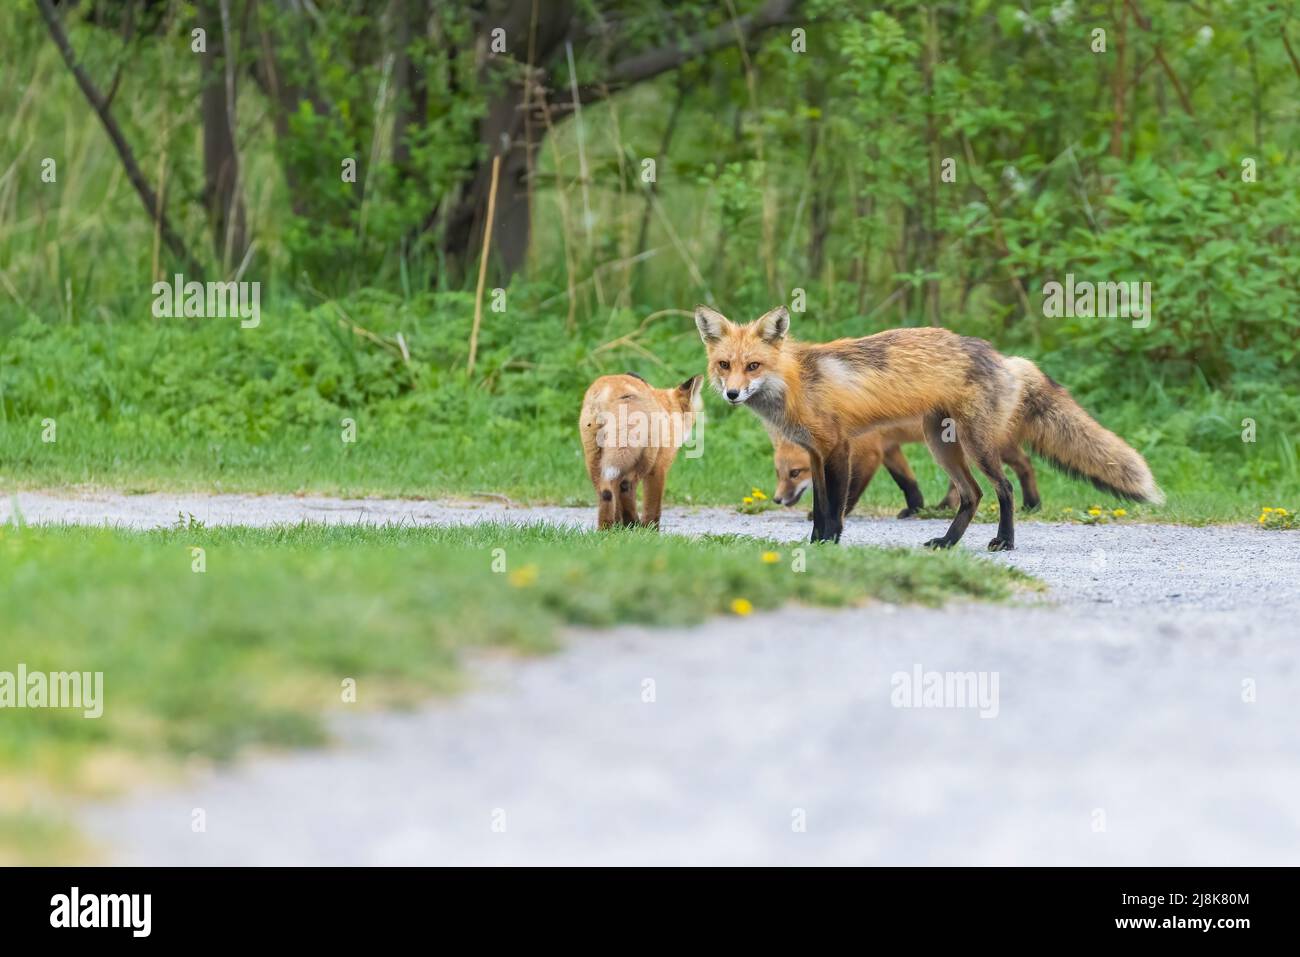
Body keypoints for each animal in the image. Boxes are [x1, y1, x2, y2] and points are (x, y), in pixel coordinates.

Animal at [579, 371, 702, 530]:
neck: (667, 411)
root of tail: (607, 389)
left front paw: (619, 527)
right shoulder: (659, 466)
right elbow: (653, 504)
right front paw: (651, 529)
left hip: (595, 458)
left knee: (605, 492)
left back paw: (607, 528)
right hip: (645, 458)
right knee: (626, 486)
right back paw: (634, 524)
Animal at [771, 423, 1041, 518]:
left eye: (796, 473)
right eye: (778, 473)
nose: (777, 499)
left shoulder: (870, 455)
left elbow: (850, 491)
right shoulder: (889, 449)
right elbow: (907, 482)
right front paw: (915, 508)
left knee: (1026, 463)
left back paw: (1033, 503)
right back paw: (944, 506)